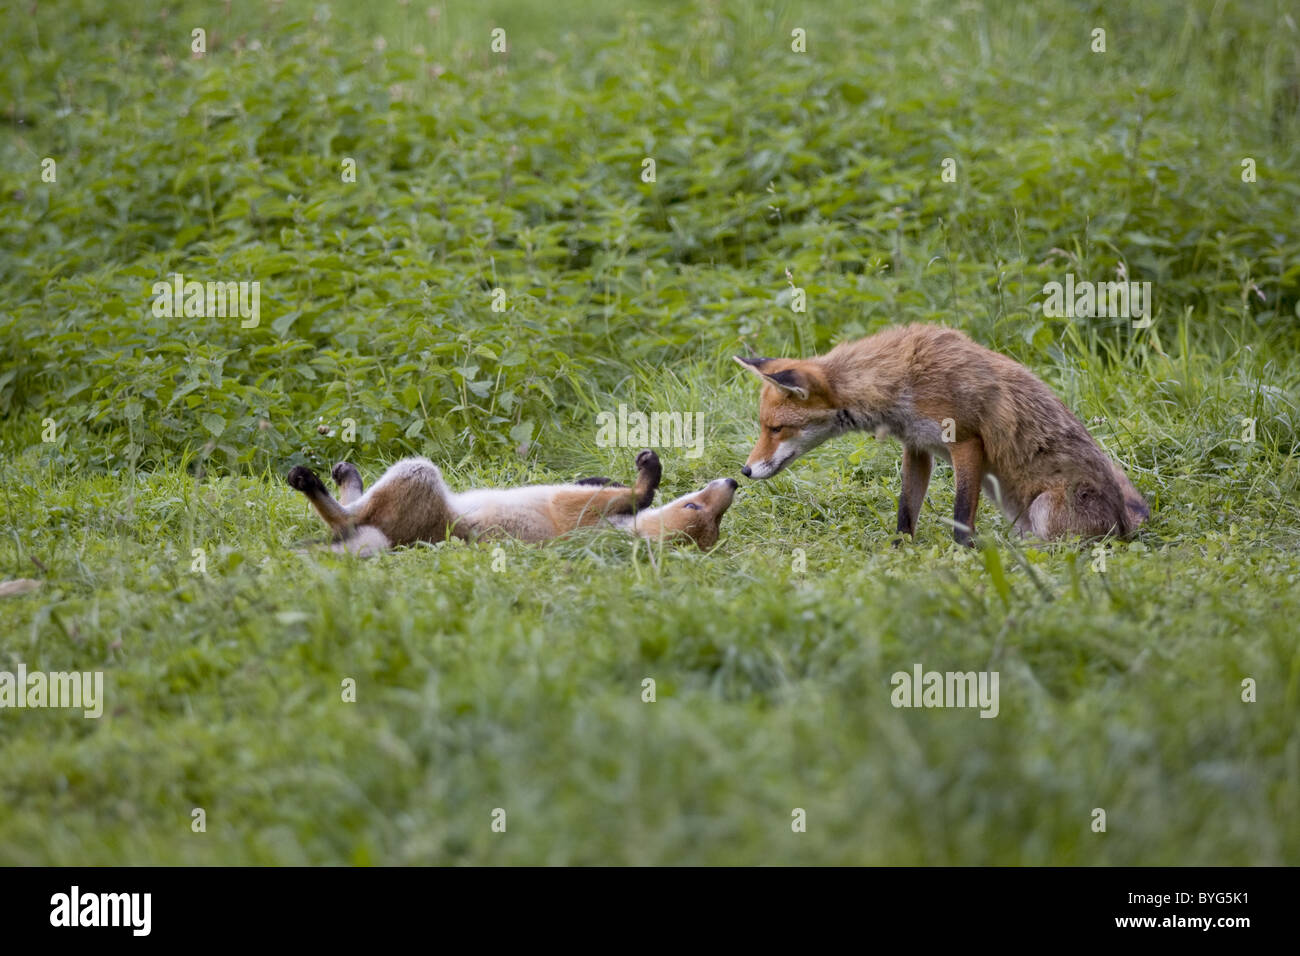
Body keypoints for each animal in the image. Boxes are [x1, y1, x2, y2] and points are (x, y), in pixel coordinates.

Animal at [735, 323, 1149, 545]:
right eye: (764, 427)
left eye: (776, 428)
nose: (745, 471)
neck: (904, 381)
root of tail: (1127, 524)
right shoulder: (917, 446)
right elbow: (906, 507)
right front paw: (900, 548)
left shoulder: (965, 441)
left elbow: (961, 512)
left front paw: (964, 552)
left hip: (1044, 508)